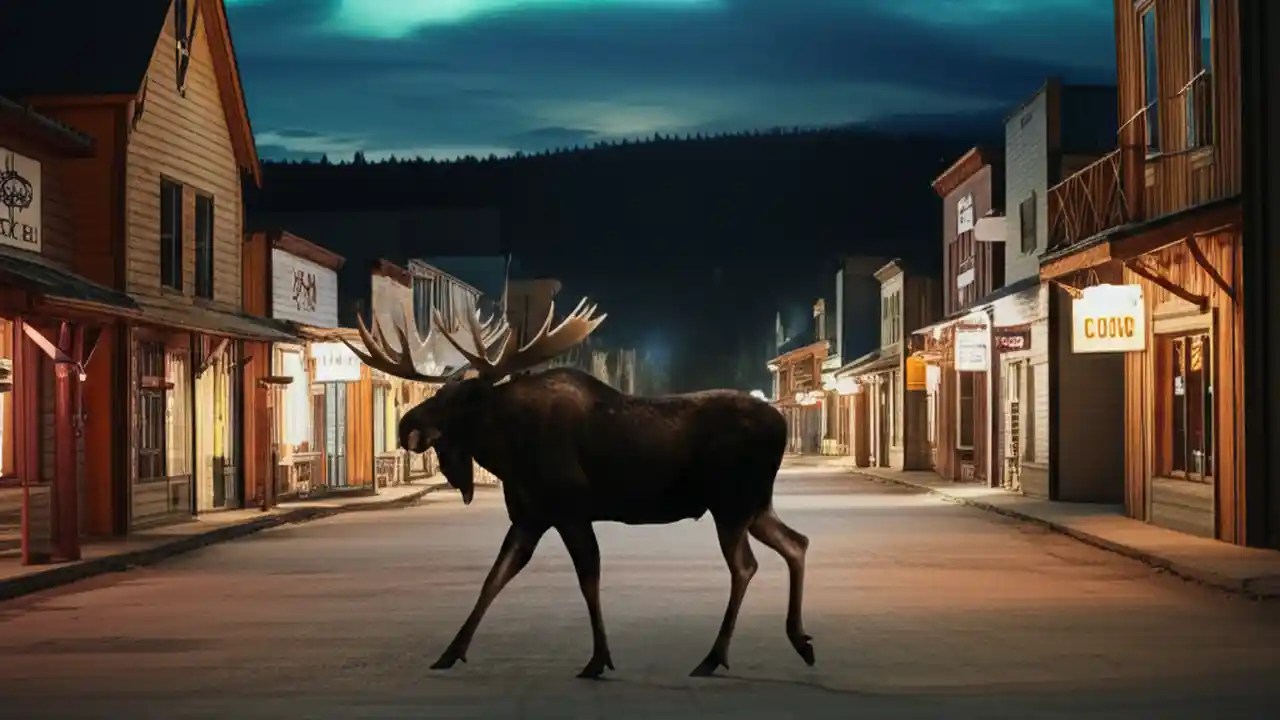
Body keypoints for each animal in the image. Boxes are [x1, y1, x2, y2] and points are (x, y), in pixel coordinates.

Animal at [342, 297, 814, 679]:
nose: (407, 424)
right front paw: (449, 652)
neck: (509, 448)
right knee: (797, 543)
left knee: (746, 566)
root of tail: (781, 423)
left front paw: (597, 659)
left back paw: (715, 657)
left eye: (458, 399)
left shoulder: (570, 512)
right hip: (755, 506)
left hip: (731, 506)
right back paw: (799, 640)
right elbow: (494, 579)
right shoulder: (529, 517)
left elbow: (588, 577)